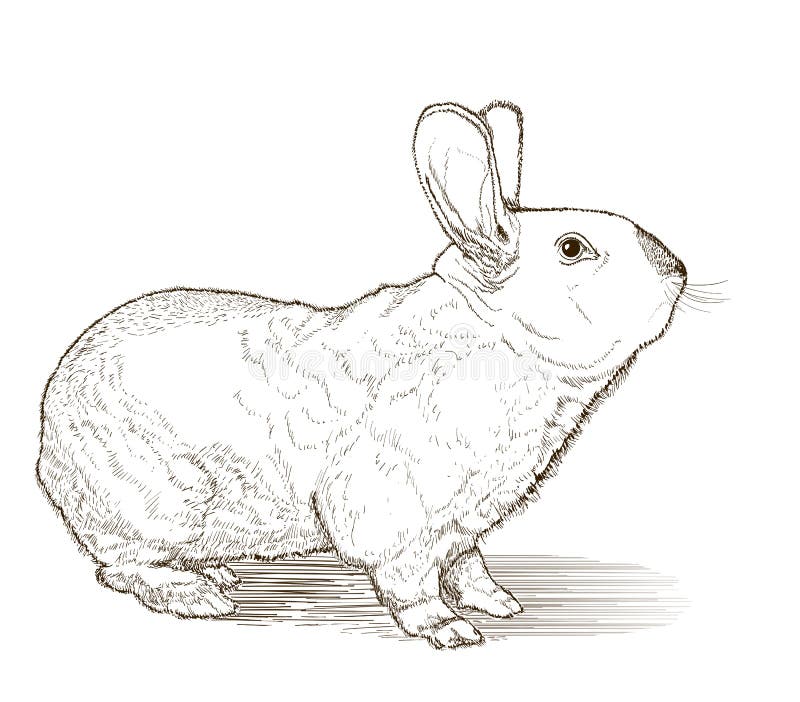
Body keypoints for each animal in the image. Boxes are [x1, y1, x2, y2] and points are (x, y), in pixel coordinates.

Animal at [37, 100, 687, 648]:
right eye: (574, 248)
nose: (677, 270)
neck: (493, 340)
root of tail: (47, 448)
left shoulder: (465, 521)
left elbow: (467, 564)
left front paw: (499, 602)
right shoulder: (394, 511)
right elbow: (409, 581)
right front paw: (448, 630)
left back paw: (217, 574)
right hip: (145, 511)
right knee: (122, 568)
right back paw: (201, 596)